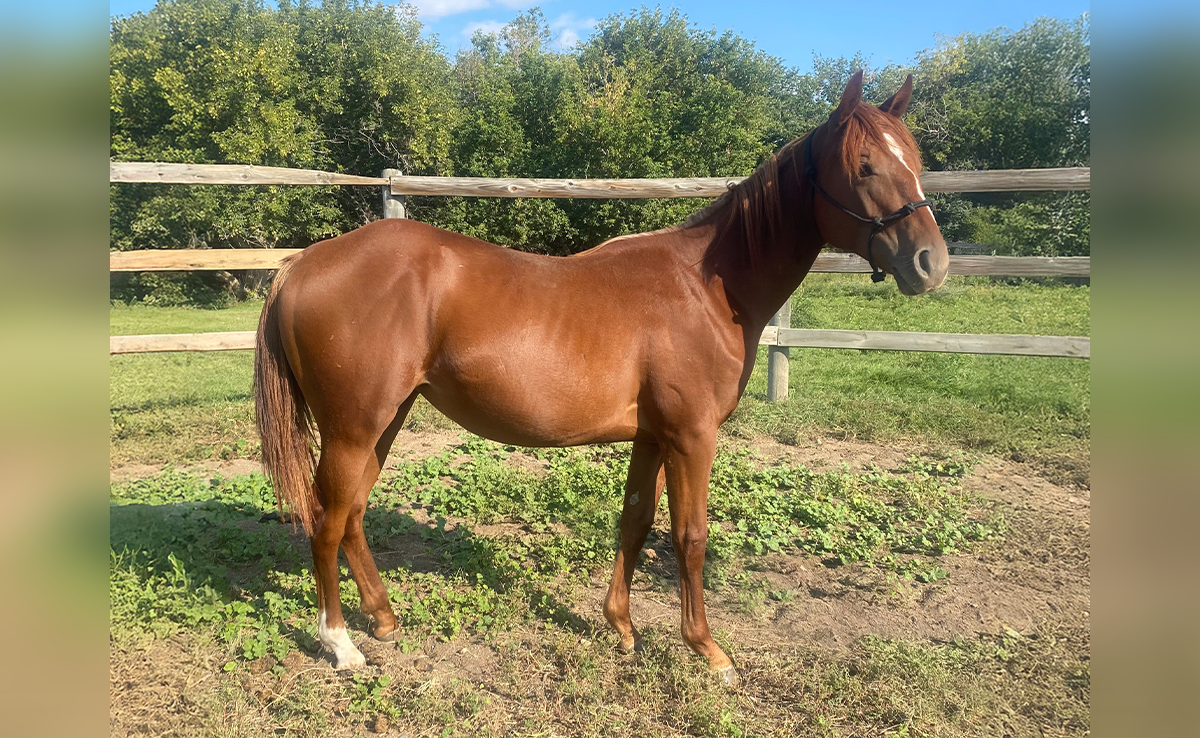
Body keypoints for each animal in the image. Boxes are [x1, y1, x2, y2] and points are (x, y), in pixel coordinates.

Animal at [254, 71, 948, 684]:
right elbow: (690, 537)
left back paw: (384, 618)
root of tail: (300, 265)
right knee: (326, 519)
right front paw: (708, 650)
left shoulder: (653, 436)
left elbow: (635, 523)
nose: (930, 263)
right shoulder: (692, 436)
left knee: (353, 514)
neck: (706, 288)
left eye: (913, 159)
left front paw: (621, 627)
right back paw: (341, 644)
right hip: (353, 427)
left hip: (384, 420)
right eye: (864, 166)